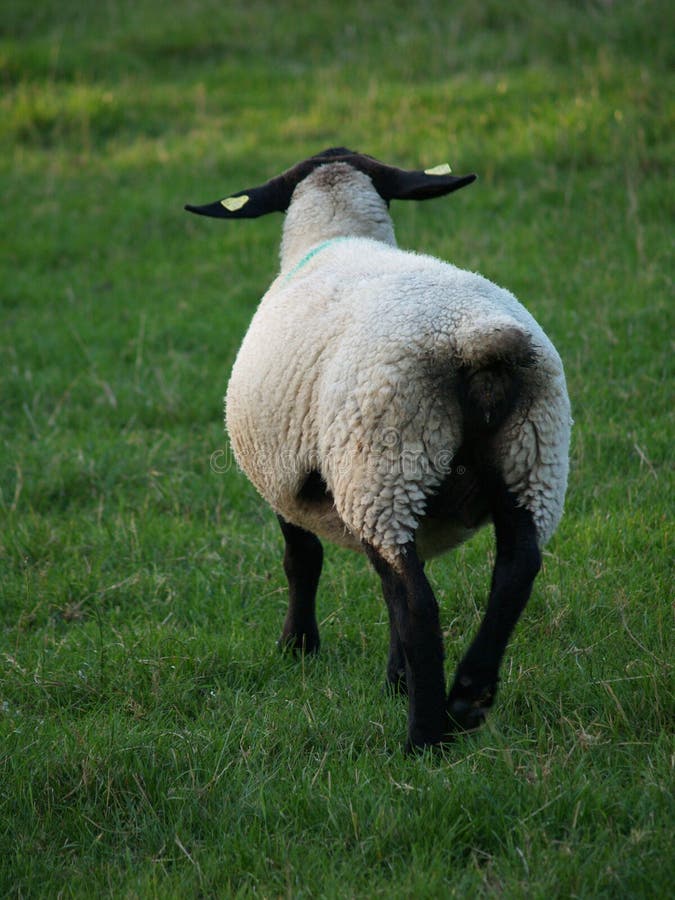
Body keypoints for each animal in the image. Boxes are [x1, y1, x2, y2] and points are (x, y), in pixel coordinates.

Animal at [185, 147, 571, 751]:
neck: (337, 229)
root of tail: (478, 342)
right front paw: (394, 679)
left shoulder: (281, 473)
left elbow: (302, 561)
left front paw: (298, 648)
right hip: (530, 457)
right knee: (514, 572)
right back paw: (468, 697)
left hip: (385, 464)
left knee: (417, 604)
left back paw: (424, 737)